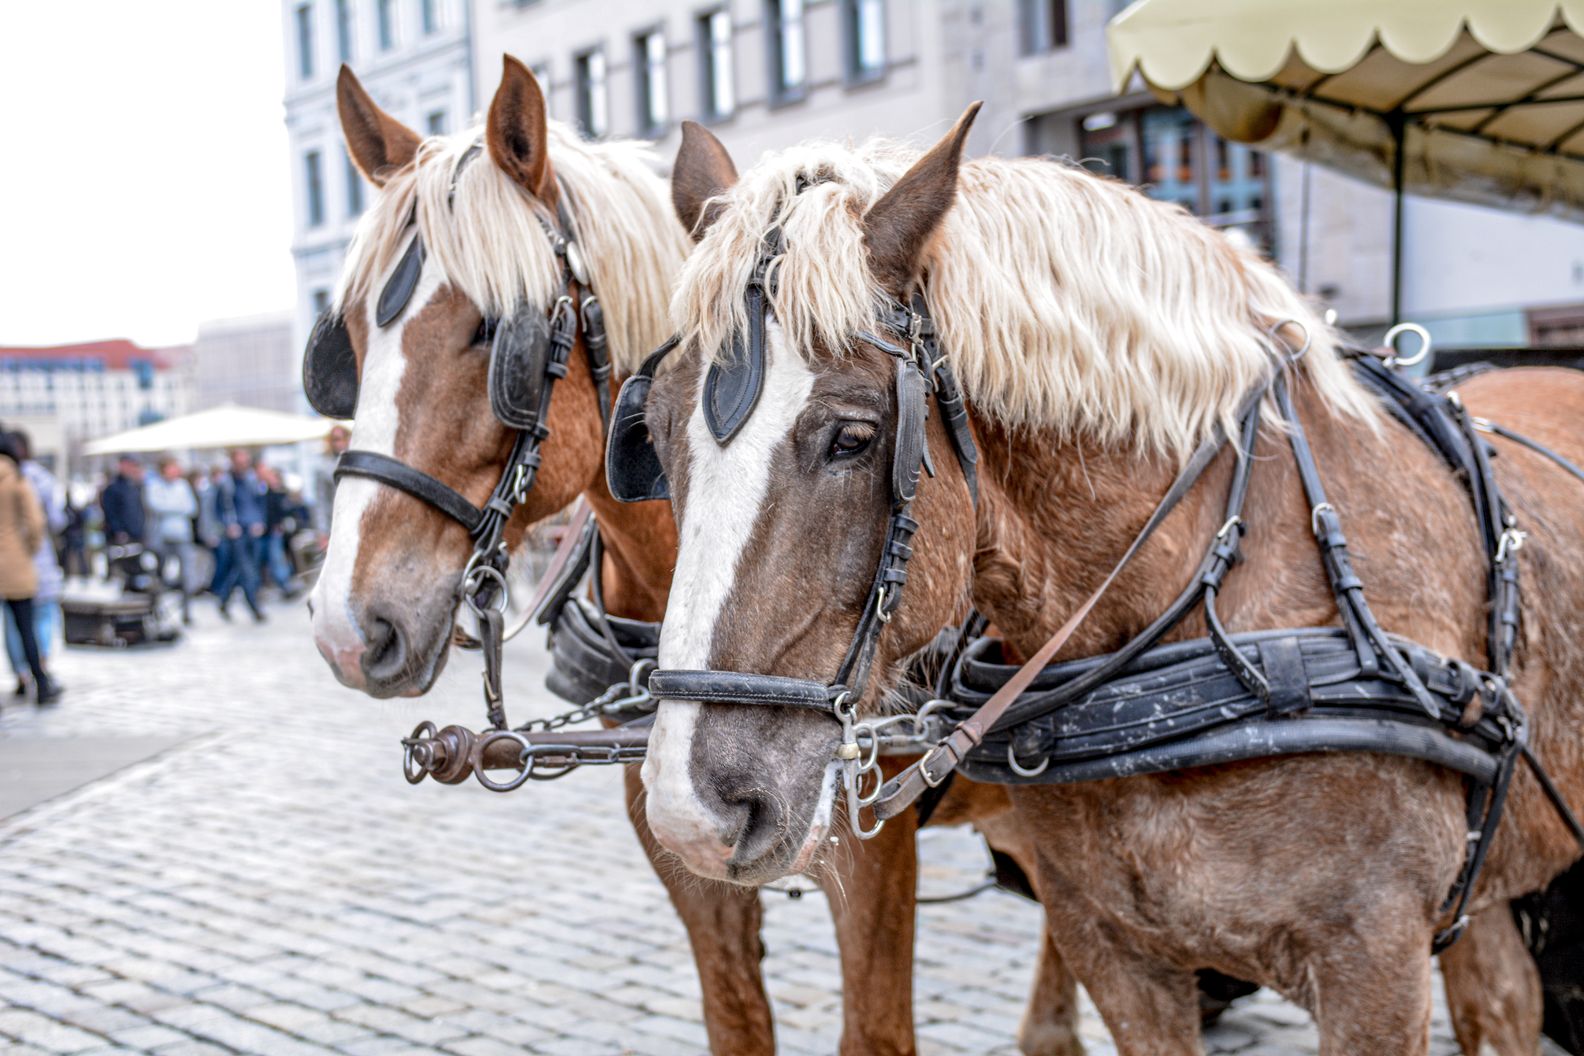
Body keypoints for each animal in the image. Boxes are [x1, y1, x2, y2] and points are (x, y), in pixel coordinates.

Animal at [308, 61, 1082, 1055]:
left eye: (493, 331)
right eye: (349, 339)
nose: (345, 625)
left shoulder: (868, 845)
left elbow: (875, 1028)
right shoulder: (676, 835)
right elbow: (734, 1017)